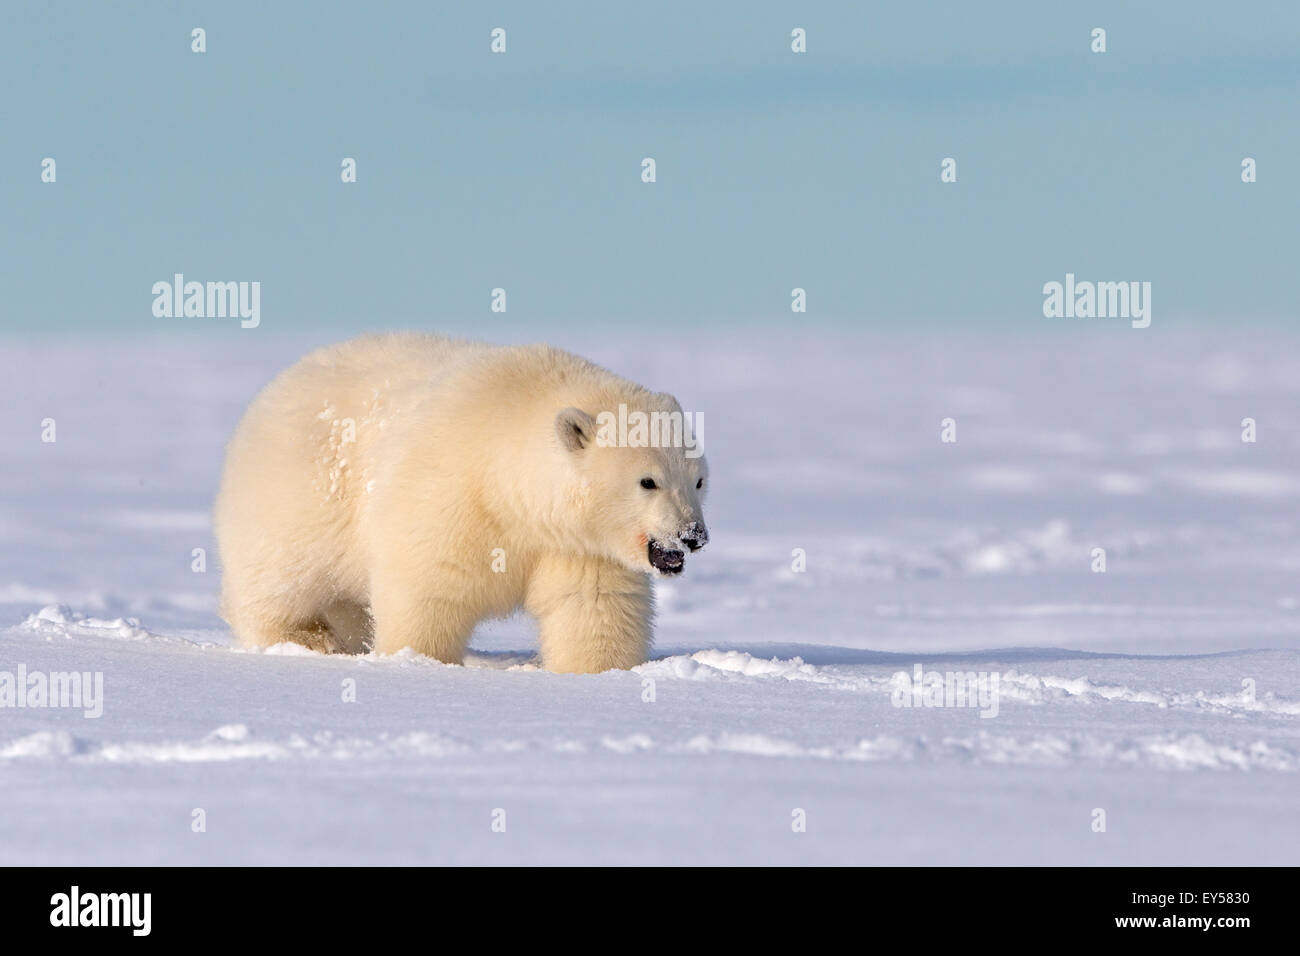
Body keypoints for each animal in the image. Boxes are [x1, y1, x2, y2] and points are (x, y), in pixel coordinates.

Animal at [213, 332, 709, 673]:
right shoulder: (450, 498)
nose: (694, 536)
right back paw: (308, 638)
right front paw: (419, 660)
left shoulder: (576, 544)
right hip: (297, 492)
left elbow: (591, 607)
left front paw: (598, 671)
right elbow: (428, 588)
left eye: (699, 480)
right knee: (279, 576)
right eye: (648, 481)